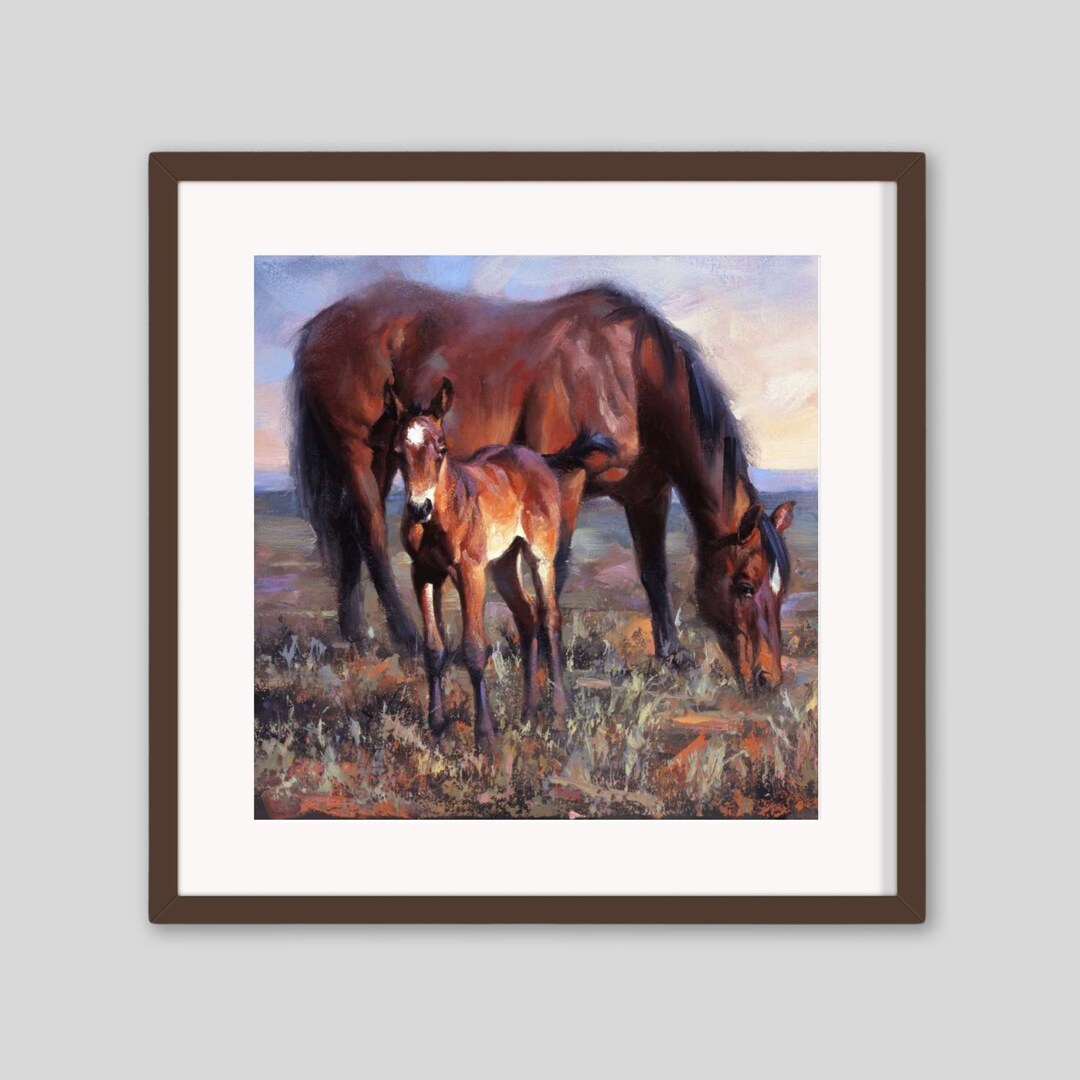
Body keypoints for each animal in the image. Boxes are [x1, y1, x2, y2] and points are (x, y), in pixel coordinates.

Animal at [290, 280, 796, 692]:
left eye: (782, 590)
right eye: (745, 586)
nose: (769, 679)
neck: (624, 368)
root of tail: (320, 325)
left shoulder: (648, 495)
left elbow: (654, 572)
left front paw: (672, 655)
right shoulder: (565, 480)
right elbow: (558, 563)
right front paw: (527, 644)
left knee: (347, 532)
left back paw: (354, 635)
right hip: (362, 454)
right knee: (371, 534)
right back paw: (406, 637)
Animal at [383, 377, 613, 753]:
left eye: (441, 449)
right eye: (398, 452)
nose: (419, 508)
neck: (445, 515)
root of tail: (534, 457)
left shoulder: (470, 572)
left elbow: (475, 648)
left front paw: (486, 738)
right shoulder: (424, 574)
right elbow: (433, 648)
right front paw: (436, 727)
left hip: (539, 555)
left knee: (549, 617)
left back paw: (558, 716)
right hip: (504, 563)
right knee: (526, 615)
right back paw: (528, 714)